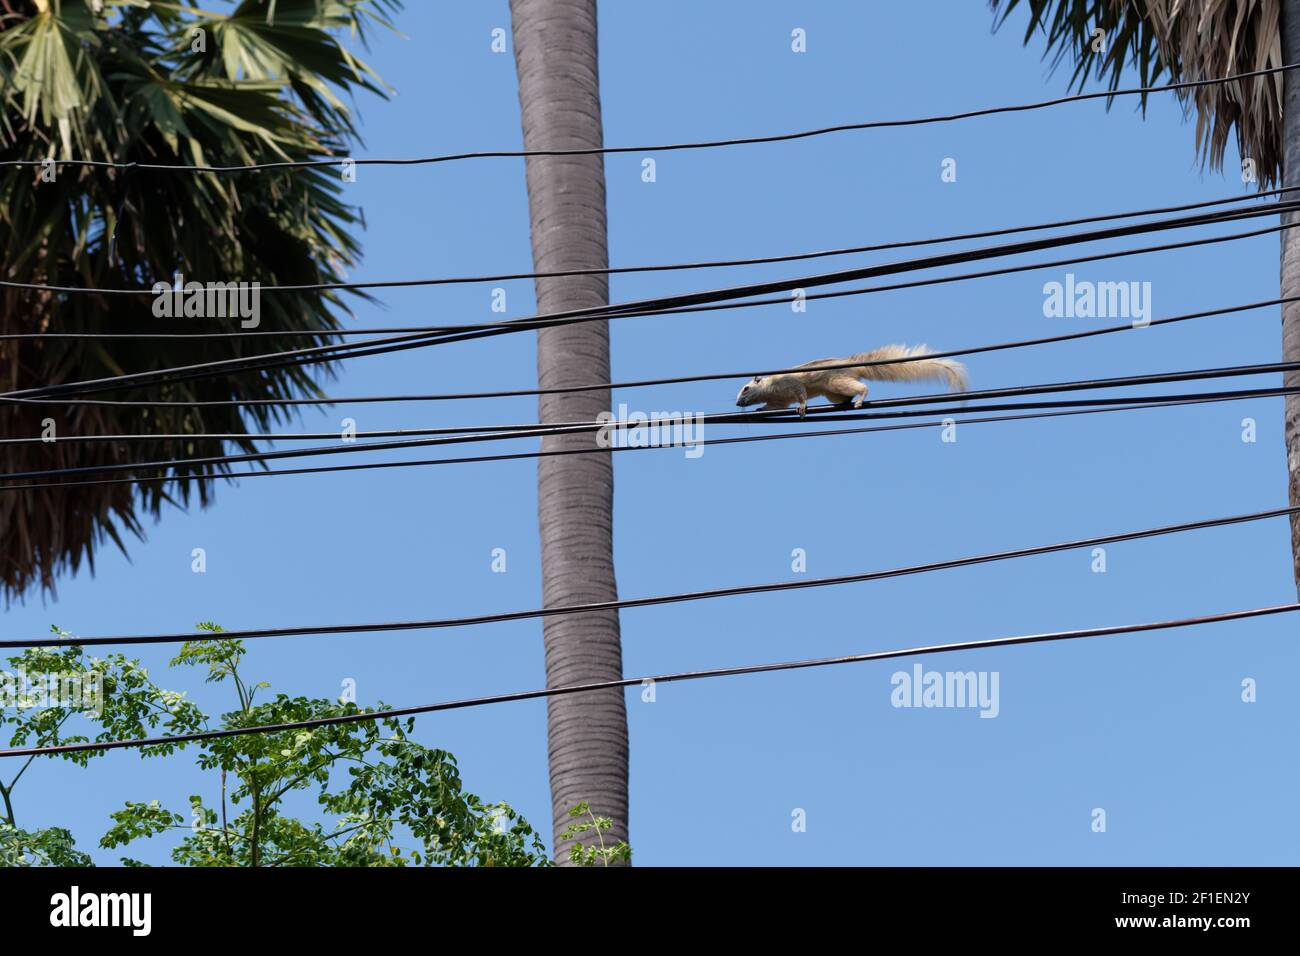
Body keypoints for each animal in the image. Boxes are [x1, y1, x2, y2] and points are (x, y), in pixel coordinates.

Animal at [734, 344, 968, 417]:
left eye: (745, 388)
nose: (737, 403)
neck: (769, 387)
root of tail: (851, 364)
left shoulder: (789, 384)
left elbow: (800, 394)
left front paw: (802, 406)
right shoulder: (779, 399)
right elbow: (777, 406)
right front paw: (761, 409)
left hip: (836, 382)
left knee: (862, 387)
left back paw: (859, 399)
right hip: (832, 392)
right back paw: (846, 403)